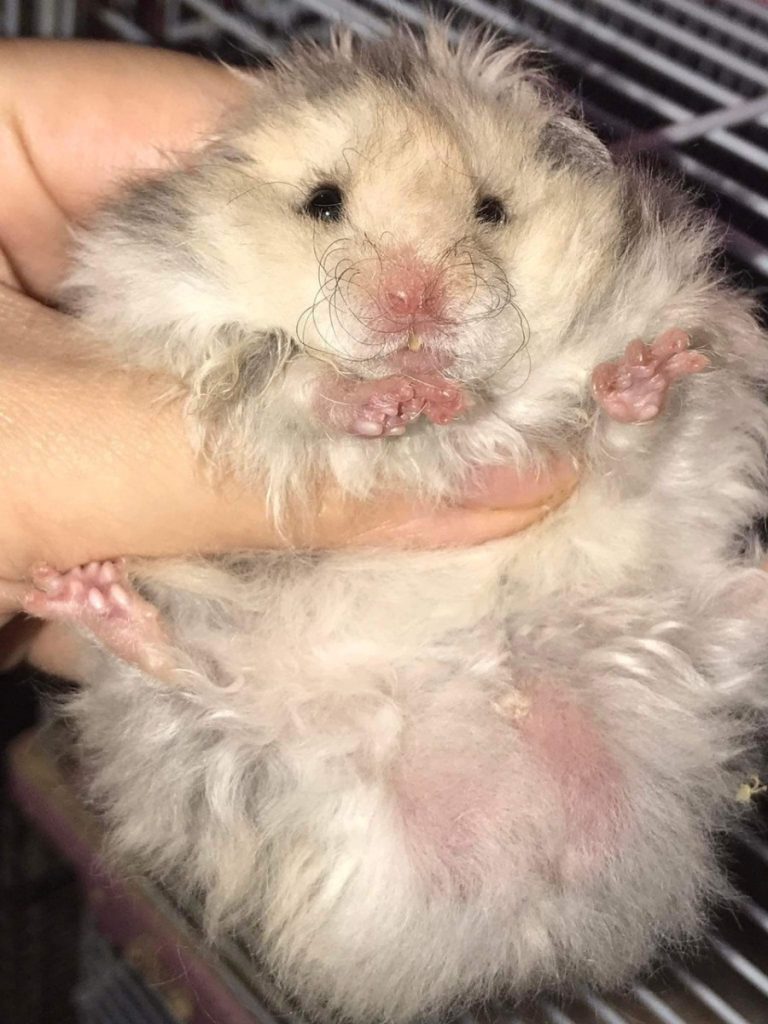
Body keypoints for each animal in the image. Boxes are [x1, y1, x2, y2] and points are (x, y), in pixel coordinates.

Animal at [24, 24, 768, 1024]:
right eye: (322, 203)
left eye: (491, 209)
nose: (416, 299)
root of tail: (525, 882)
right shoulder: (169, 317)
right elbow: (286, 374)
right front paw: (387, 407)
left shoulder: (669, 415)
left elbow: (626, 439)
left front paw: (637, 375)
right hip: (223, 738)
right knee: (197, 677)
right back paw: (93, 597)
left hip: (676, 631)